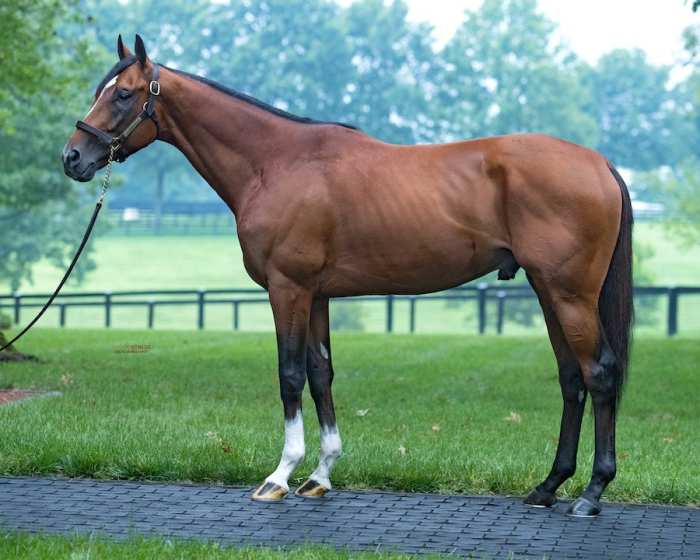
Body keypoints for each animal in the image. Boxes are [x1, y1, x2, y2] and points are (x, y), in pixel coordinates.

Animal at [63, 35, 633, 517]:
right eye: (99, 91)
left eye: (124, 94)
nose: (73, 157)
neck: (276, 163)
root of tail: (601, 164)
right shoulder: (316, 295)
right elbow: (321, 375)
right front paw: (319, 476)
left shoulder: (287, 289)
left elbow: (290, 374)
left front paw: (279, 476)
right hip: (548, 291)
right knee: (571, 380)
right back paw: (547, 486)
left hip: (569, 294)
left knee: (600, 373)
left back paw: (592, 492)